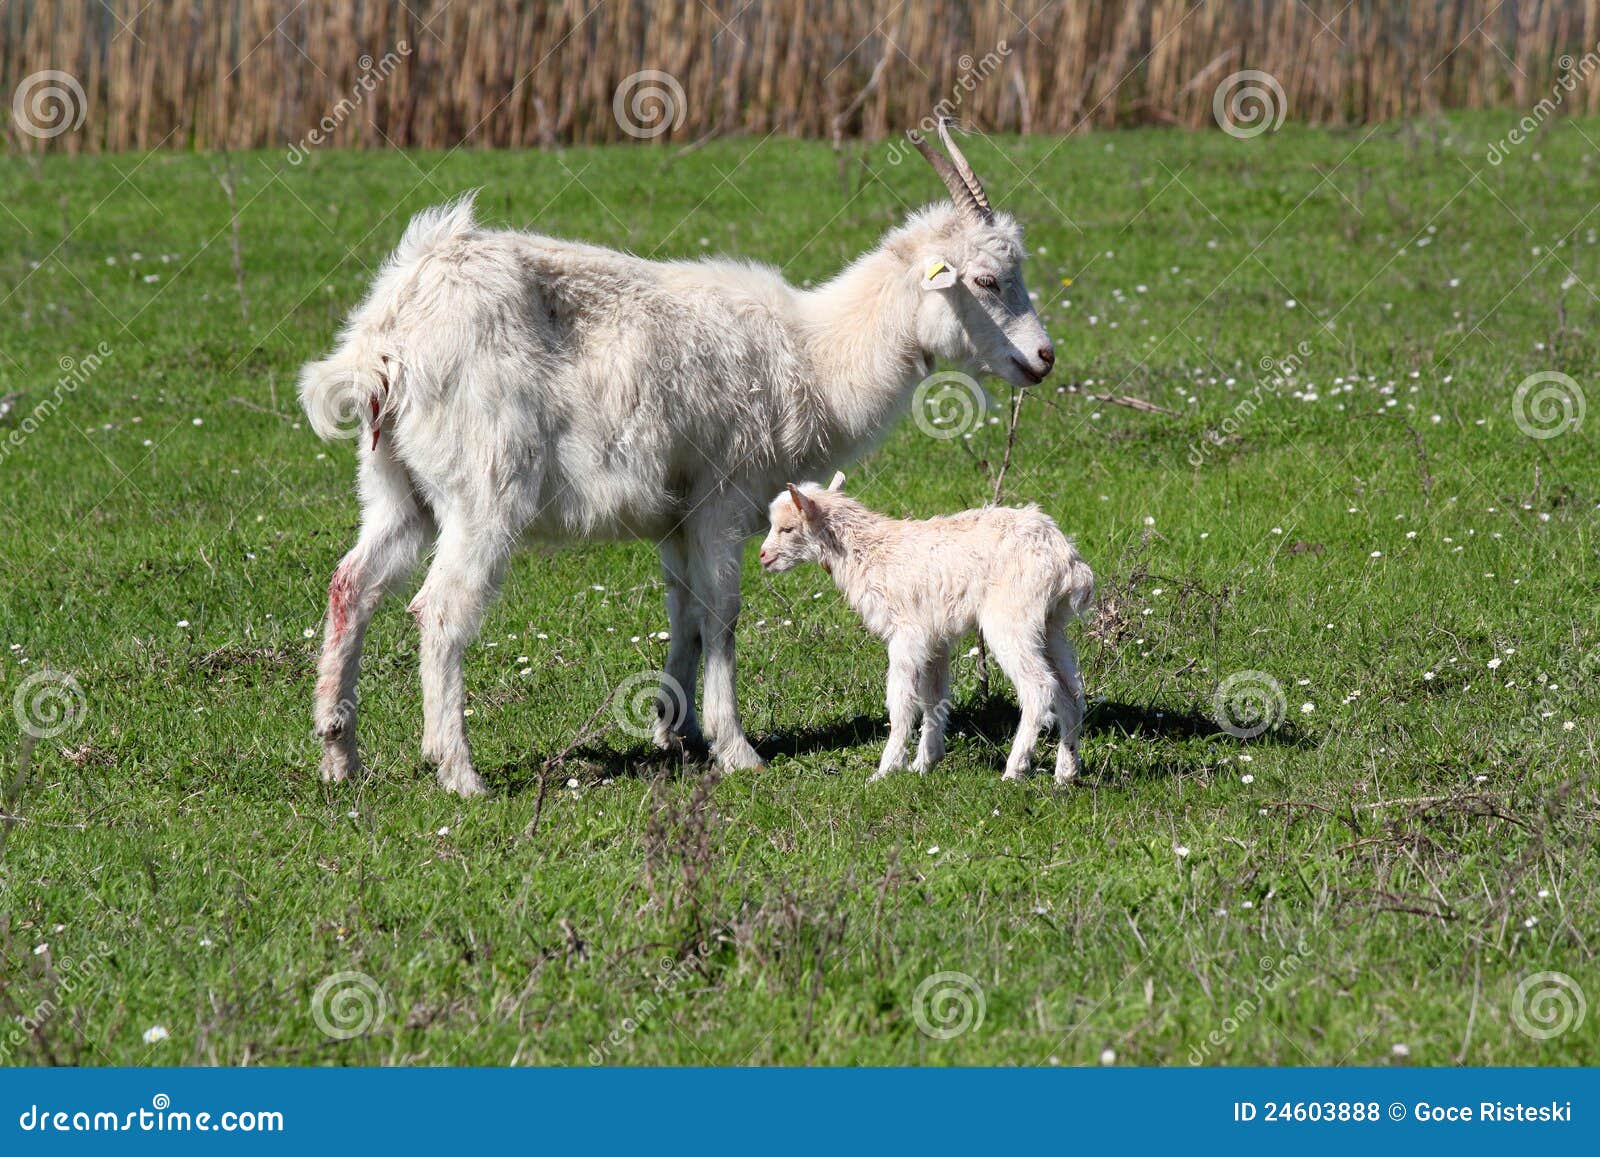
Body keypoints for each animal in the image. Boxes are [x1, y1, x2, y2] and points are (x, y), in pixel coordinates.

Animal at [299, 119, 1055, 797]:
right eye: (987, 280)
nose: (1044, 357)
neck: (814, 354)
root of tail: (385, 337)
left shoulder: (677, 513)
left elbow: (684, 609)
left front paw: (677, 729)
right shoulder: (723, 494)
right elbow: (722, 610)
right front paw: (735, 747)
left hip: (397, 486)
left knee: (352, 585)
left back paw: (340, 756)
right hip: (484, 489)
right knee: (440, 609)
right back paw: (459, 772)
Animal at [758, 475, 1093, 784]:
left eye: (787, 529)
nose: (763, 556)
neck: (868, 552)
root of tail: (1070, 564)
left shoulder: (907, 633)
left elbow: (901, 700)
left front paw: (886, 770)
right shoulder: (935, 637)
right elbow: (933, 697)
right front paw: (925, 763)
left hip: (1010, 618)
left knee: (1039, 688)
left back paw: (1015, 770)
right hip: (1050, 625)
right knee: (1070, 693)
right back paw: (1066, 773)